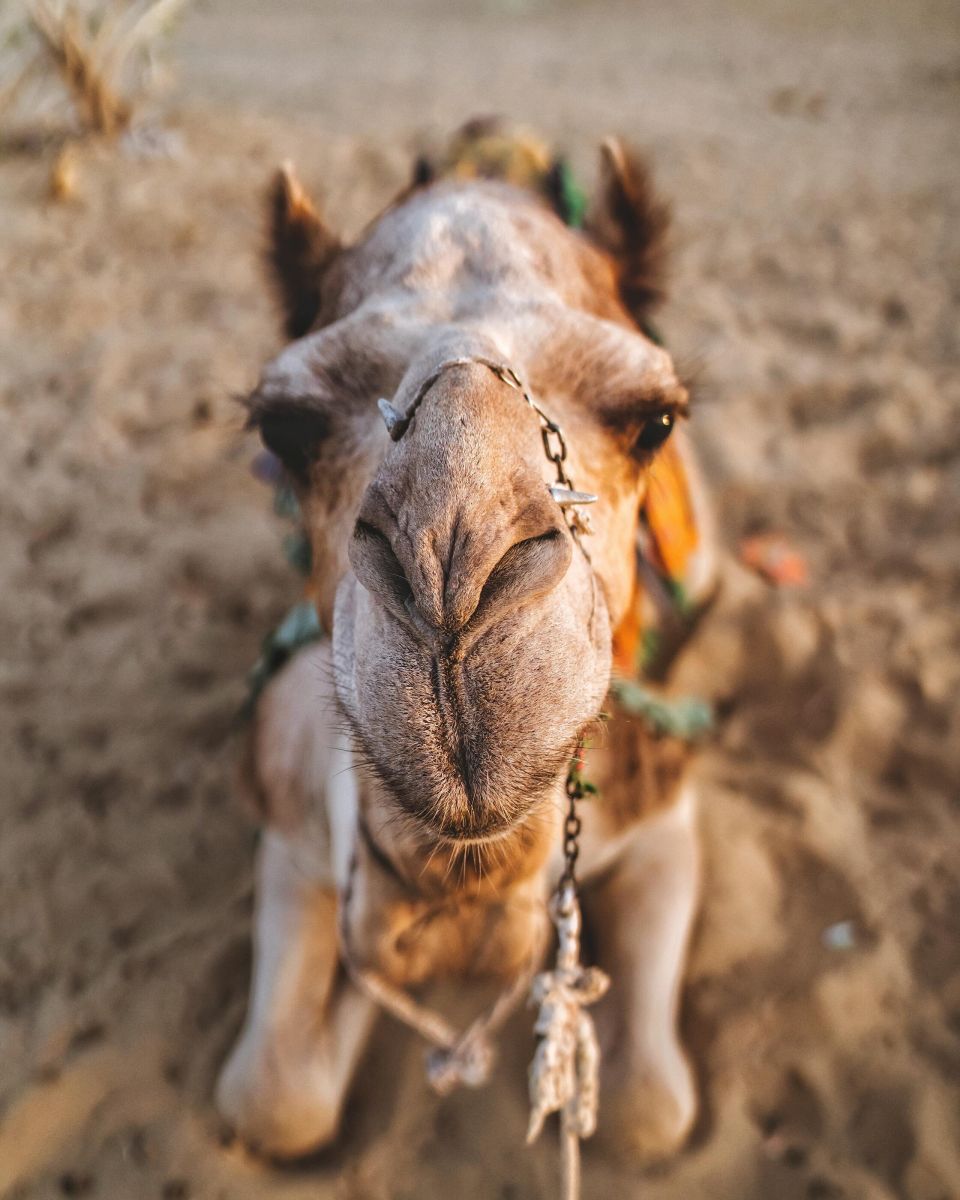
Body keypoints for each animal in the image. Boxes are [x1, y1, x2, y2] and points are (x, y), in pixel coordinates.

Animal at [216, 126, 718, 1167]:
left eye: (654, 419)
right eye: (285, 426)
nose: (452, 568)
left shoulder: (664, 814)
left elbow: (651, 1104)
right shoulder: (287, 822)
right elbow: (273, 1099)